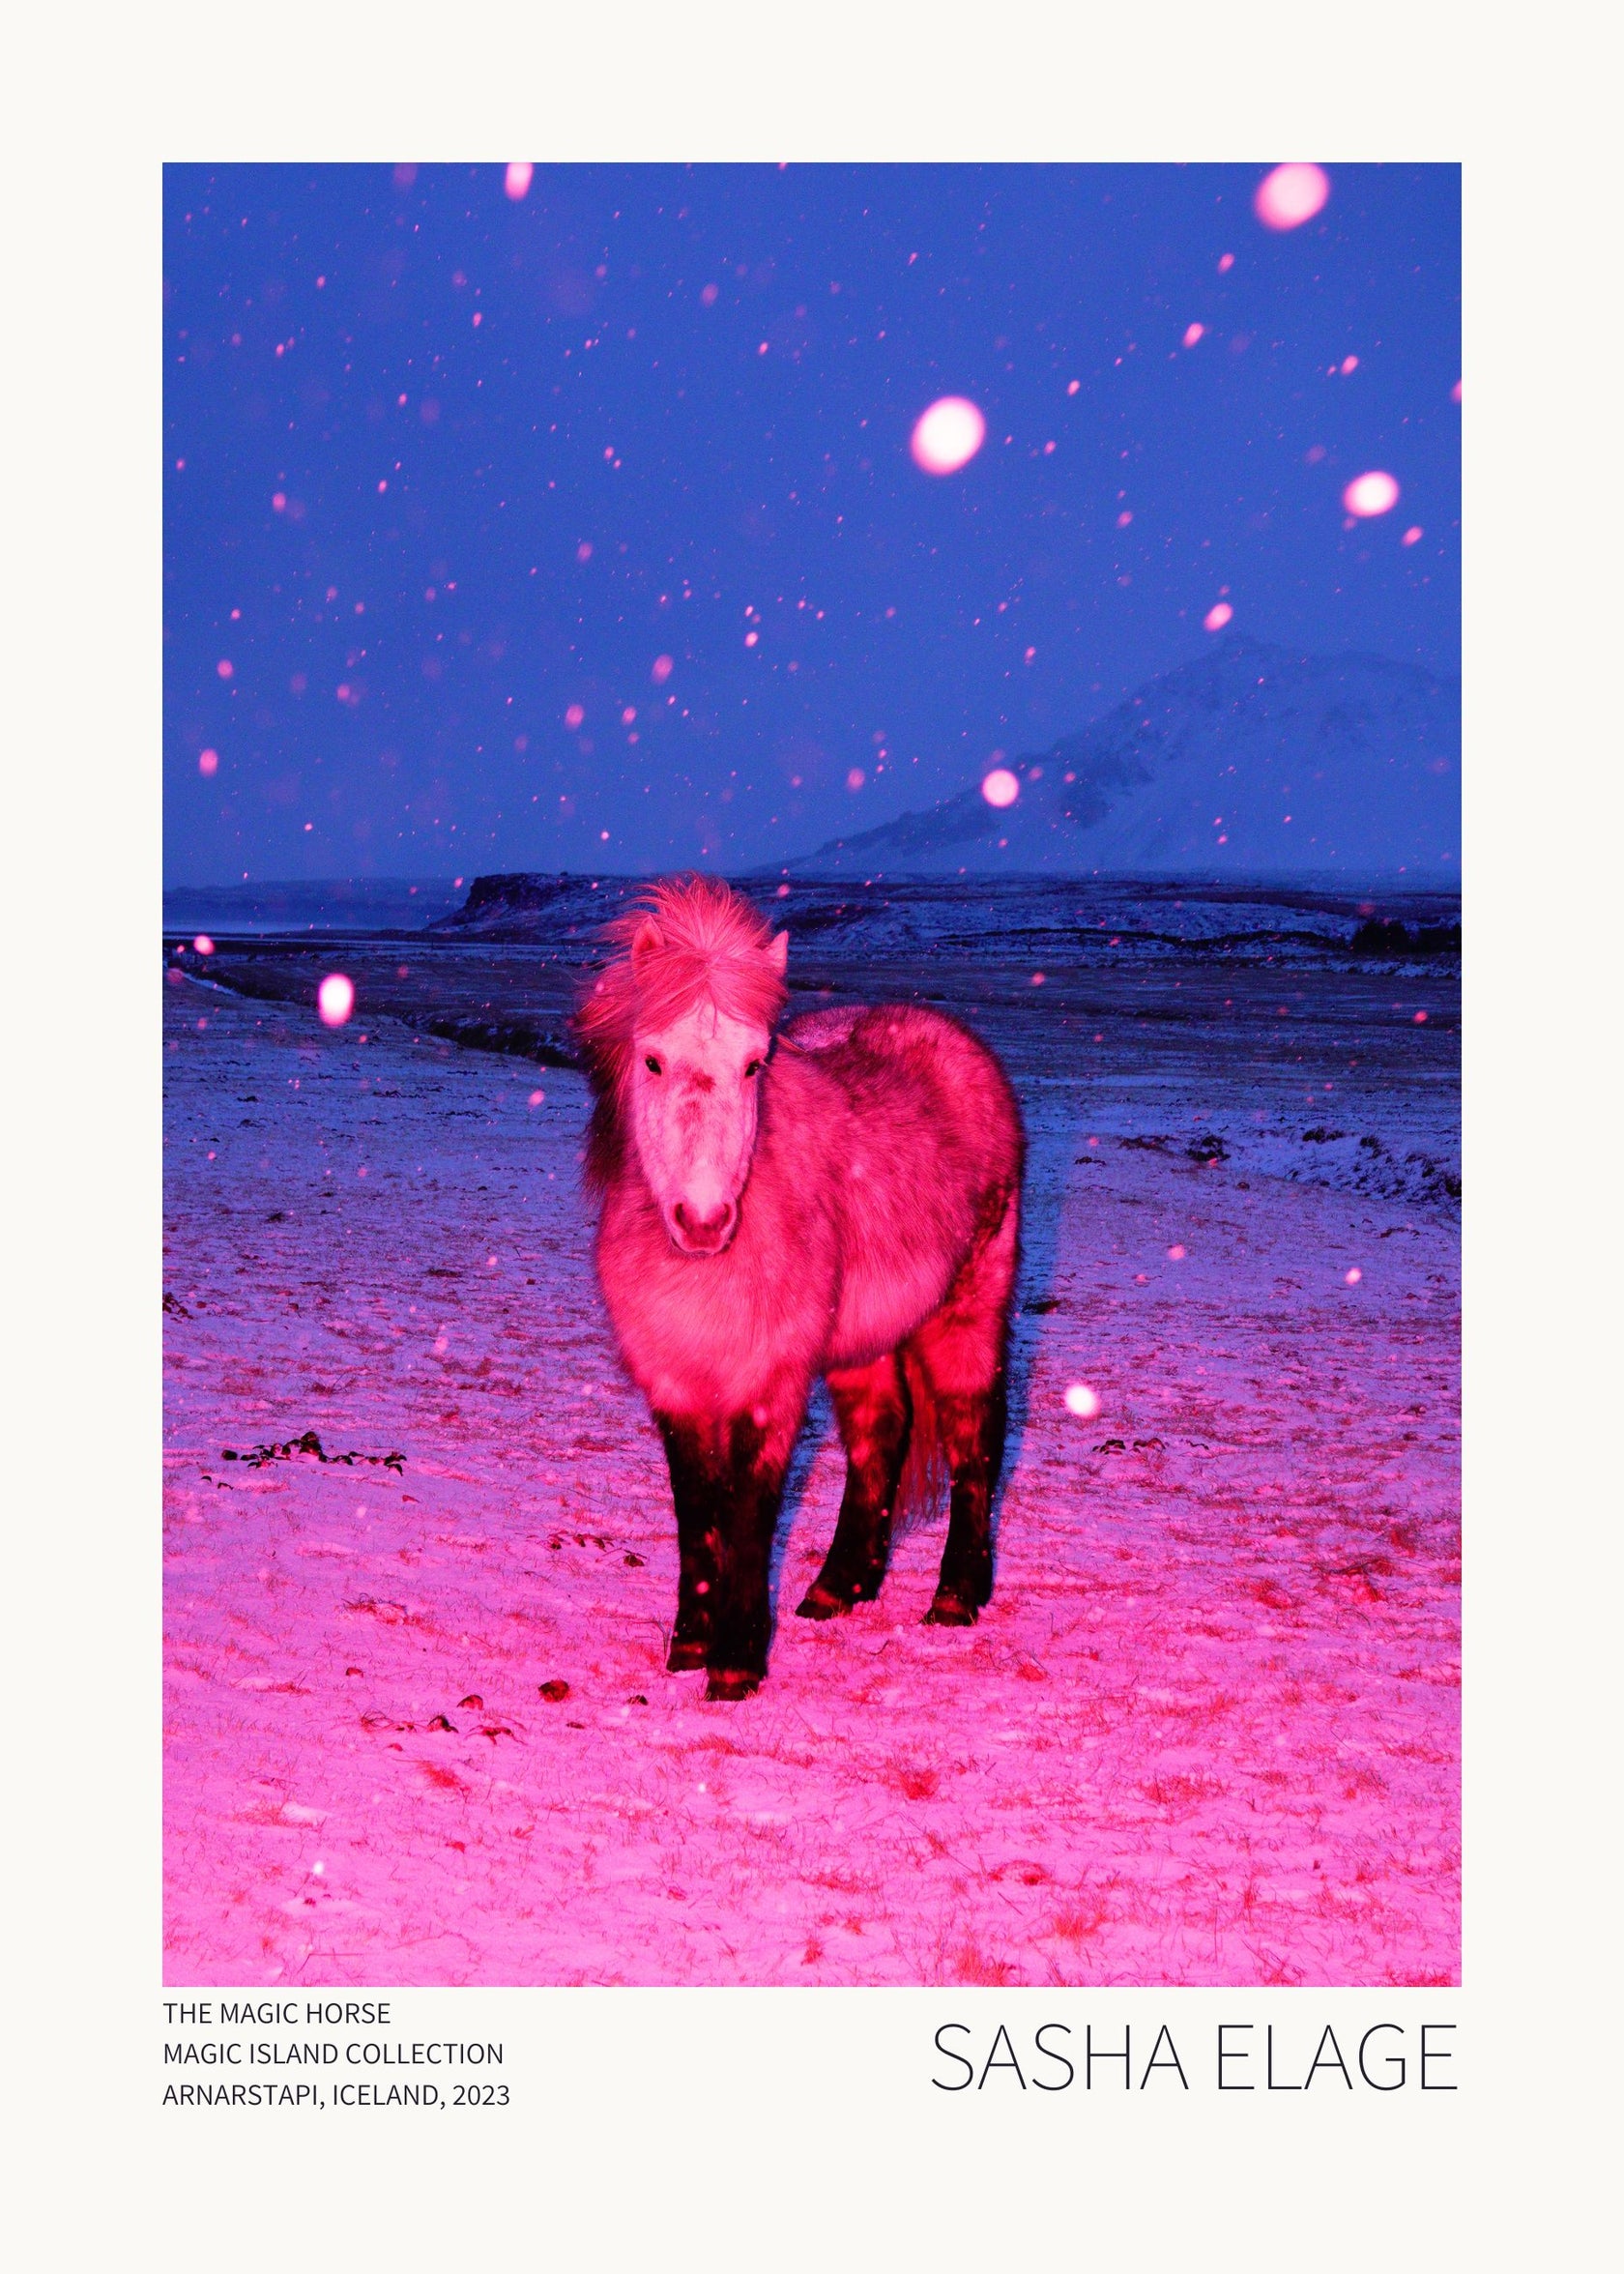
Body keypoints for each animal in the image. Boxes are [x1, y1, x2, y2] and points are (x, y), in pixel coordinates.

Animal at [574, 874, 1024, 1700]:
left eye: (756, 1064)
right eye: (652, 1061)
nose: (705, 1221)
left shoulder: (768, 1382)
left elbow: (750, 1510)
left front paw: (734, 1665)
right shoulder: (675, 1384)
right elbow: (697, 1511)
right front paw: (690, 1645)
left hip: (967, 1309)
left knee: (974, 1434)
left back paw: (954, 1598)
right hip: (861, 1342)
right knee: (882, 1433)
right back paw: (837, 1588)